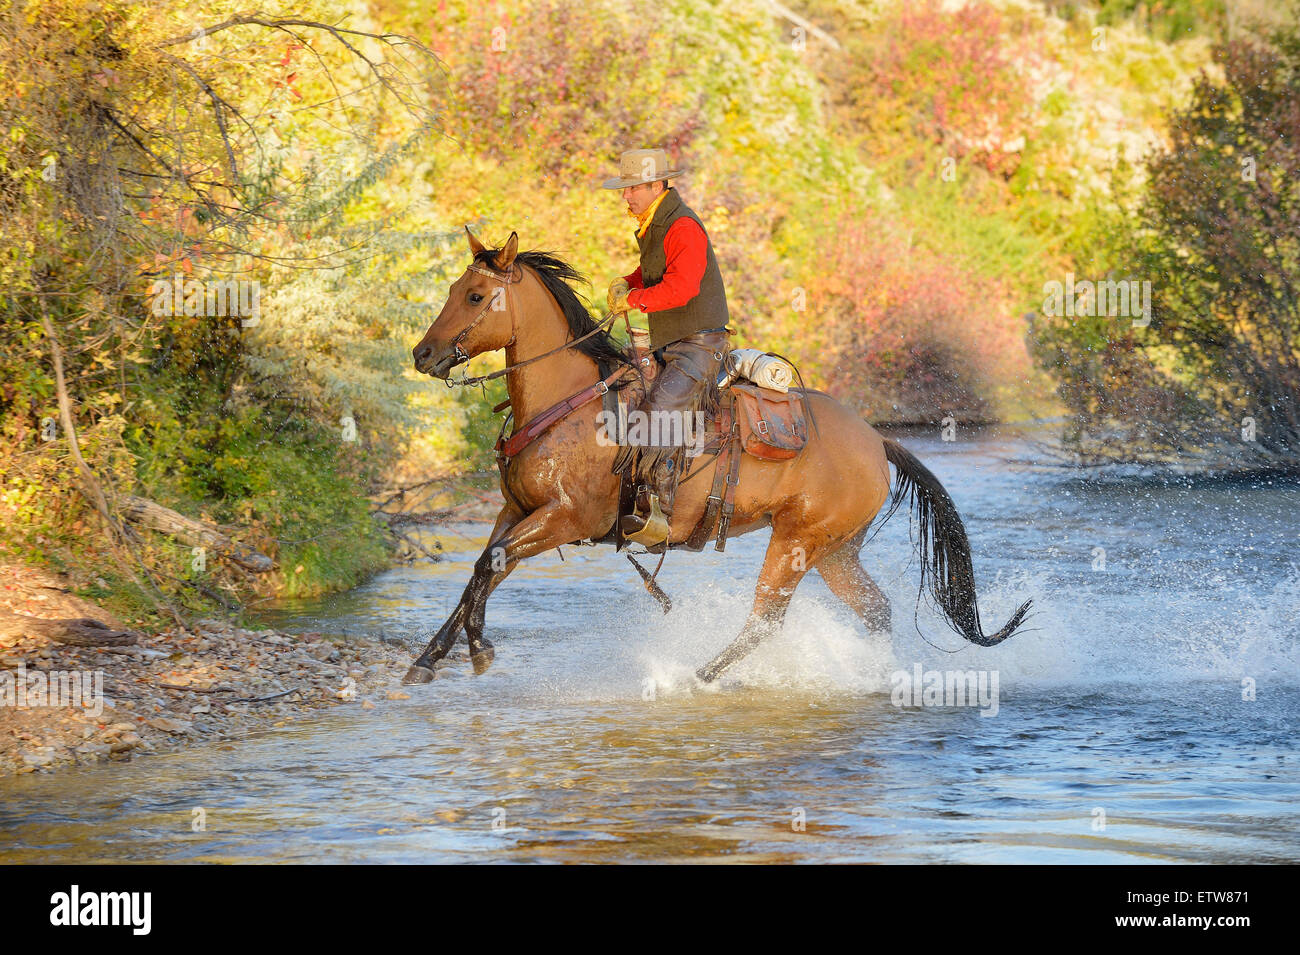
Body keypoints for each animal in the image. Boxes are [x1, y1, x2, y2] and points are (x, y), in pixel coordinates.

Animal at [403, 228, 1030, 685]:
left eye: (476, 295)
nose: (423, 354)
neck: (569, 401)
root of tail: (877, 439)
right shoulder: (516, 511)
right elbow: (481, 569)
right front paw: (429, 659)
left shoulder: (567, 519)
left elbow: (489, 566)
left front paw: (479, 650)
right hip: (835, 551)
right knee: (875, 611)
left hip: (797, 541)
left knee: (766, 621)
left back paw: (697, 675)